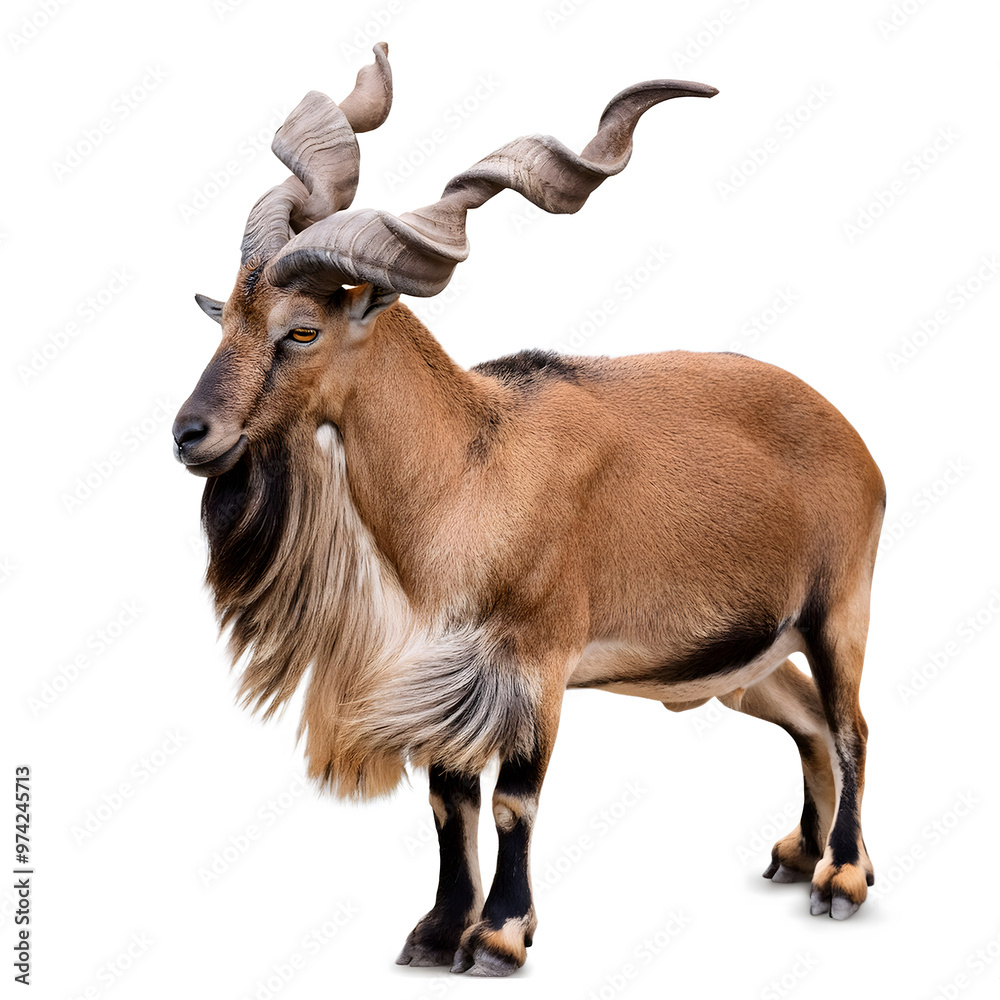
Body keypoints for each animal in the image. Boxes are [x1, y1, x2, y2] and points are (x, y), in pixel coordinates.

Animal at [173, 43, 884, 976]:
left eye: (301, 330)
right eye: (226, 317)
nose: (191, 434)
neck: (471, 468)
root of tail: (855, 440)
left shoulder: (536, 663)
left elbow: (514, 802)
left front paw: (501, 935)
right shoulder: (443, 673)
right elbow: (449, 802)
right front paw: (438, 932)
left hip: (840, 609)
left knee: (850, 727)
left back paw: (842, 879)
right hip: (748, 658)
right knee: (806, 723)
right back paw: (804, 853)